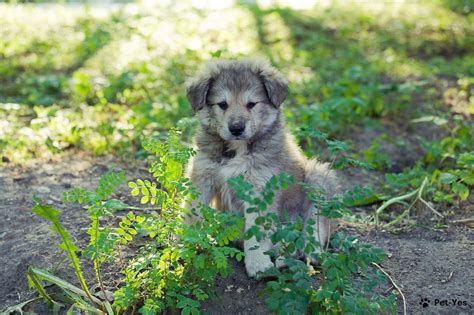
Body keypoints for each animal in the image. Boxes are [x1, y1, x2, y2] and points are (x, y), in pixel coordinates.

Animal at [184, 58, 336, 278]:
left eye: (251, 104)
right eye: (222, 104)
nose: (236, 128)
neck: (238, 149)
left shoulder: (259, 189)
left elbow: (256, 234)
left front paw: (258, 264)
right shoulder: (203, 176)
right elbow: (192, 212)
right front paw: (184, 244)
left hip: (318, 179)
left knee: (316, 226)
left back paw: (309, 253)